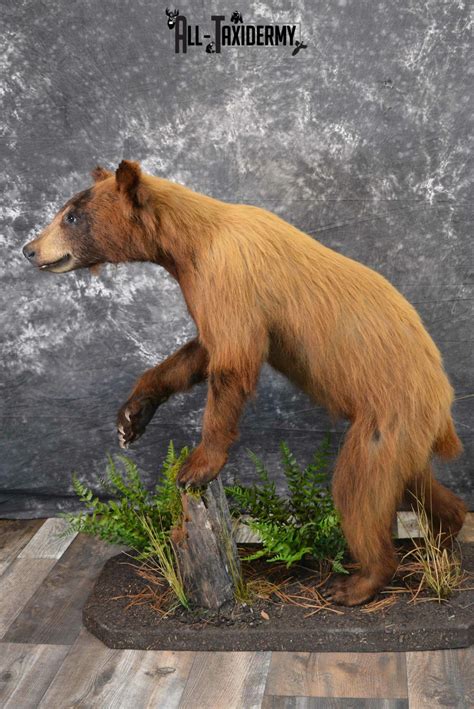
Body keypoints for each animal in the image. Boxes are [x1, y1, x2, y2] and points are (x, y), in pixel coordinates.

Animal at [22, 160, 467, 605]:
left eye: (71, 216)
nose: (29, 248)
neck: (187, 245)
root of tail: (444, 401)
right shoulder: (207, 291)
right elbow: (201, 351)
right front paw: (132, 416)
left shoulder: (230, 278)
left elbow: (233, 361)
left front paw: (197, 465)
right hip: (408, 437)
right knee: (412, 483)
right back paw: (446, 532)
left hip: (388, 418)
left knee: (358, 489)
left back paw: (358, 582)